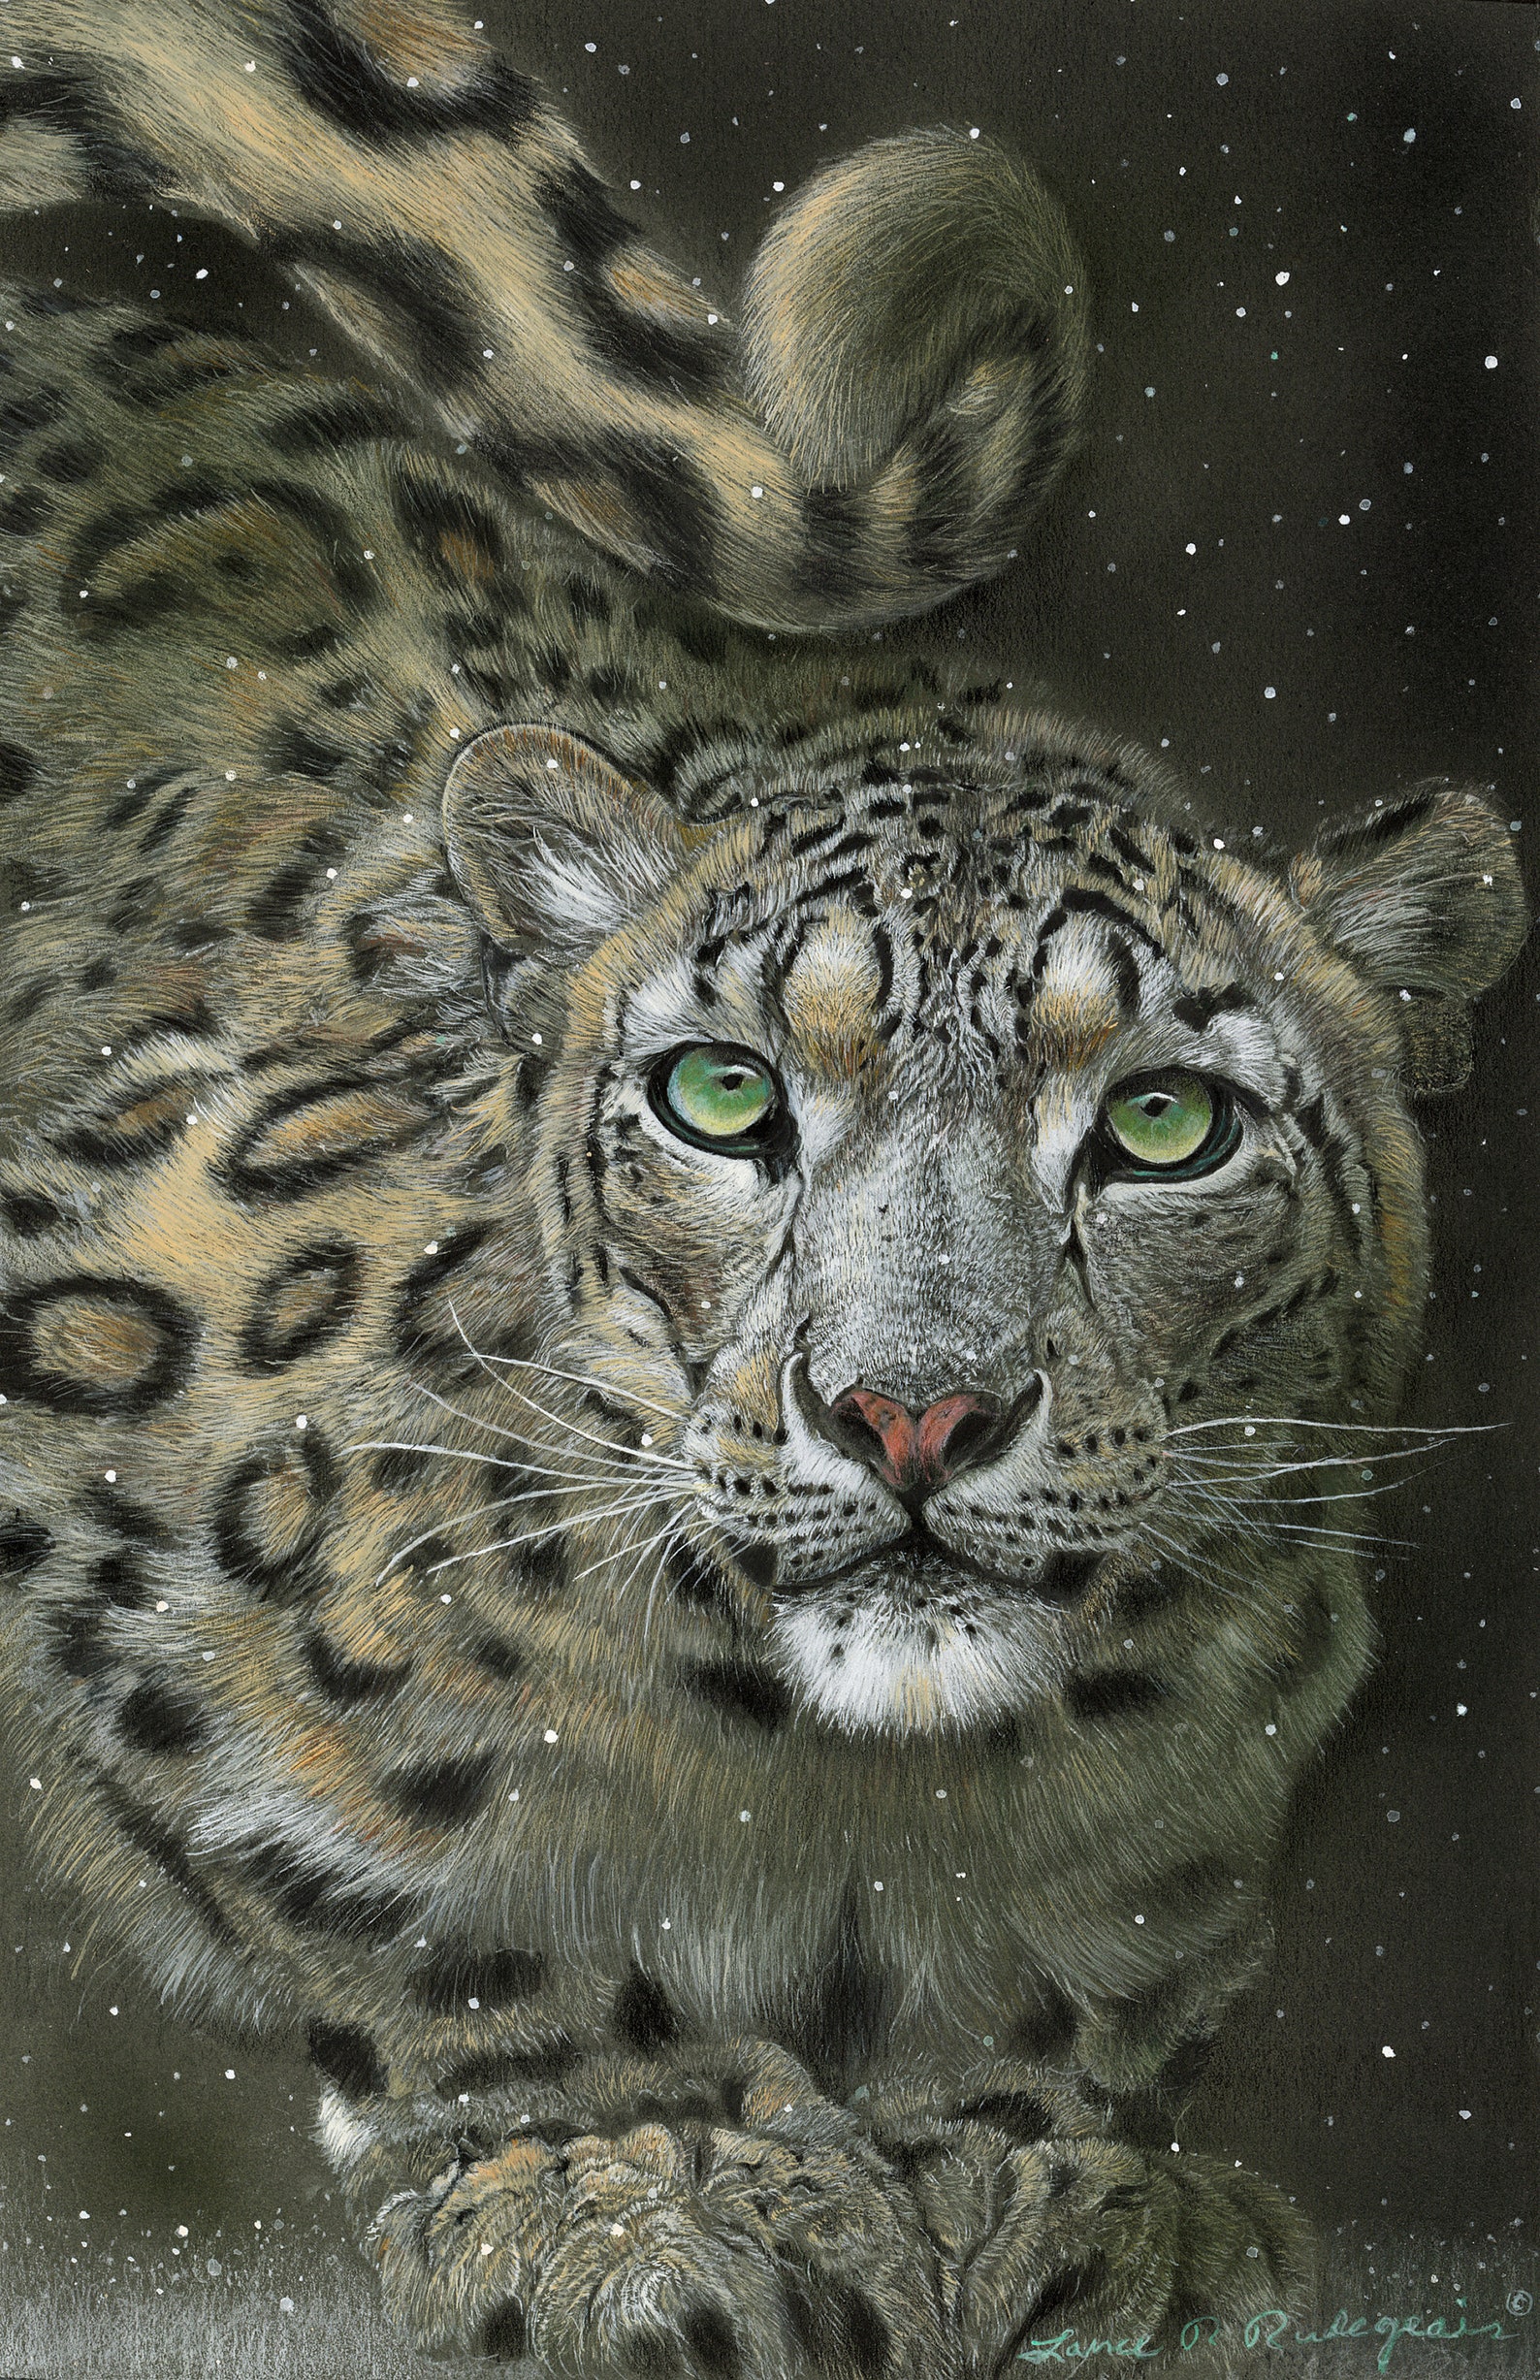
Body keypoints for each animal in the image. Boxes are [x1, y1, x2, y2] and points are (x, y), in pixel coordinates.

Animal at [0, 5, 1526, 2375]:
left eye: (1164, 1123)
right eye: (721, 1093)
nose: (909, 1413)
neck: (842, 1800)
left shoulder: (1213, 1765)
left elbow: (1113, 1969)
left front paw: (1053, 2178)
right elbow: (394, 1902)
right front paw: (624, 2175)